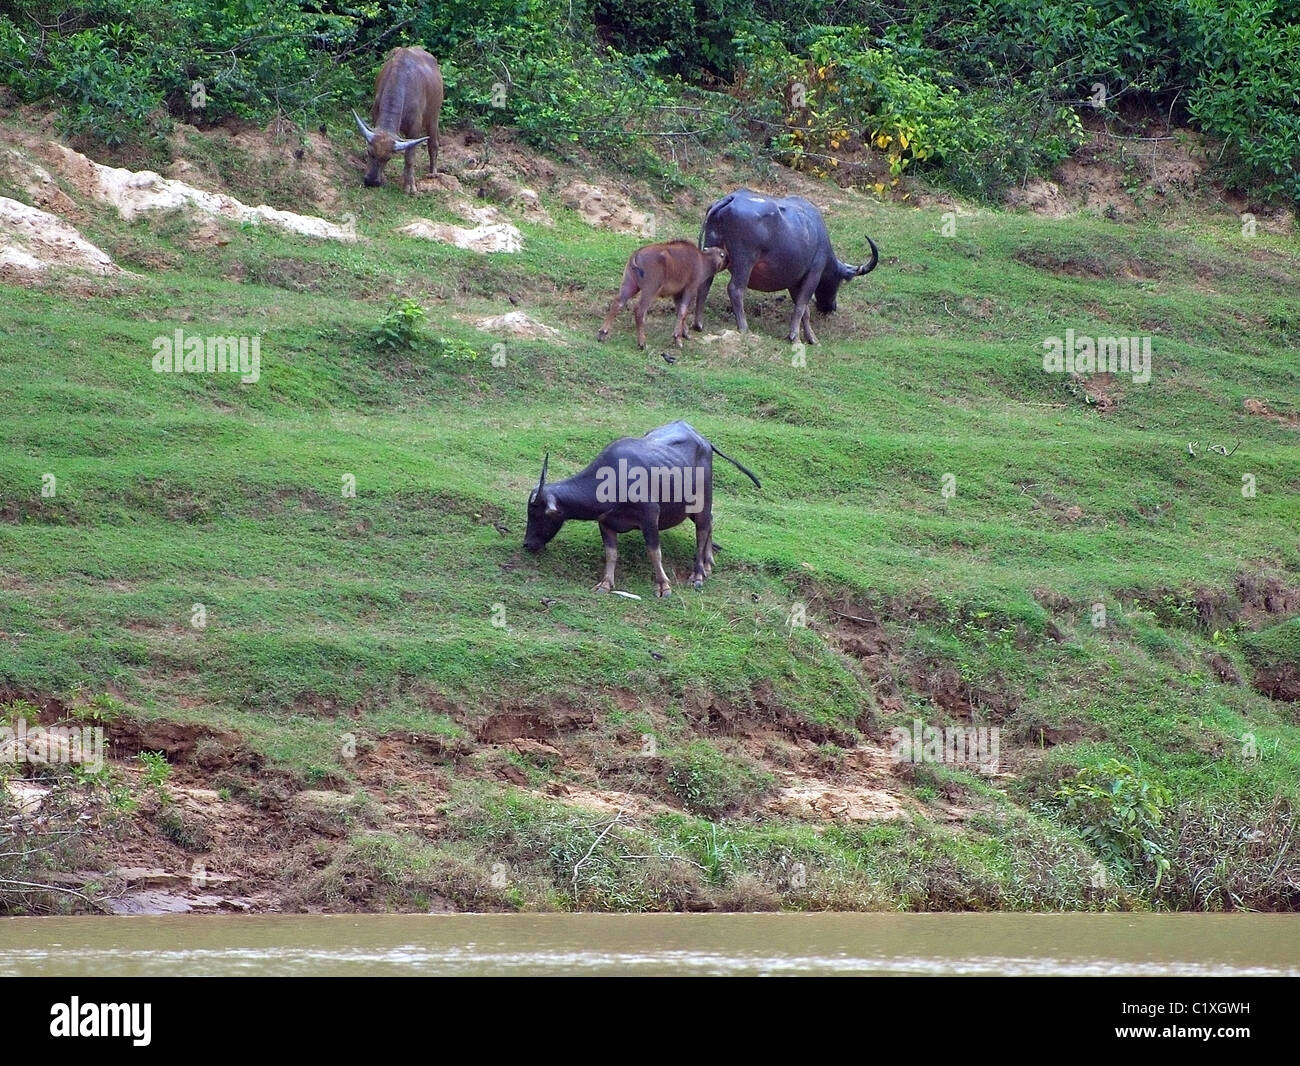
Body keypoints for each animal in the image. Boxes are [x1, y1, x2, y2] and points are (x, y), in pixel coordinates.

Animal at [523, 421, 761, 597]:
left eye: (537, 513)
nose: (527, 544)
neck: (613, 481)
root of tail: (704, 440)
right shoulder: (605, 522)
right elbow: (611, 554)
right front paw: (605, 584)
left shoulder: (650, 517)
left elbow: (654, 552)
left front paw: (664, 586)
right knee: (710, 522)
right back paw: (708, 562)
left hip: (702, 501)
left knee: (702, 529)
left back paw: (698, 575)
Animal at [699, 188, 879, 343]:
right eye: (839, 281)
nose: (831, 307)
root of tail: (730, 199)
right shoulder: (813, 274)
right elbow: (801, 306)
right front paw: (795, 336)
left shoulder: (794, 282)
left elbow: (804, 310)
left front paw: (811, 338)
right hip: (744, 261)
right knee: (735, 289)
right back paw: (743, 327)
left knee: (705, 282)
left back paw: (698, 323)